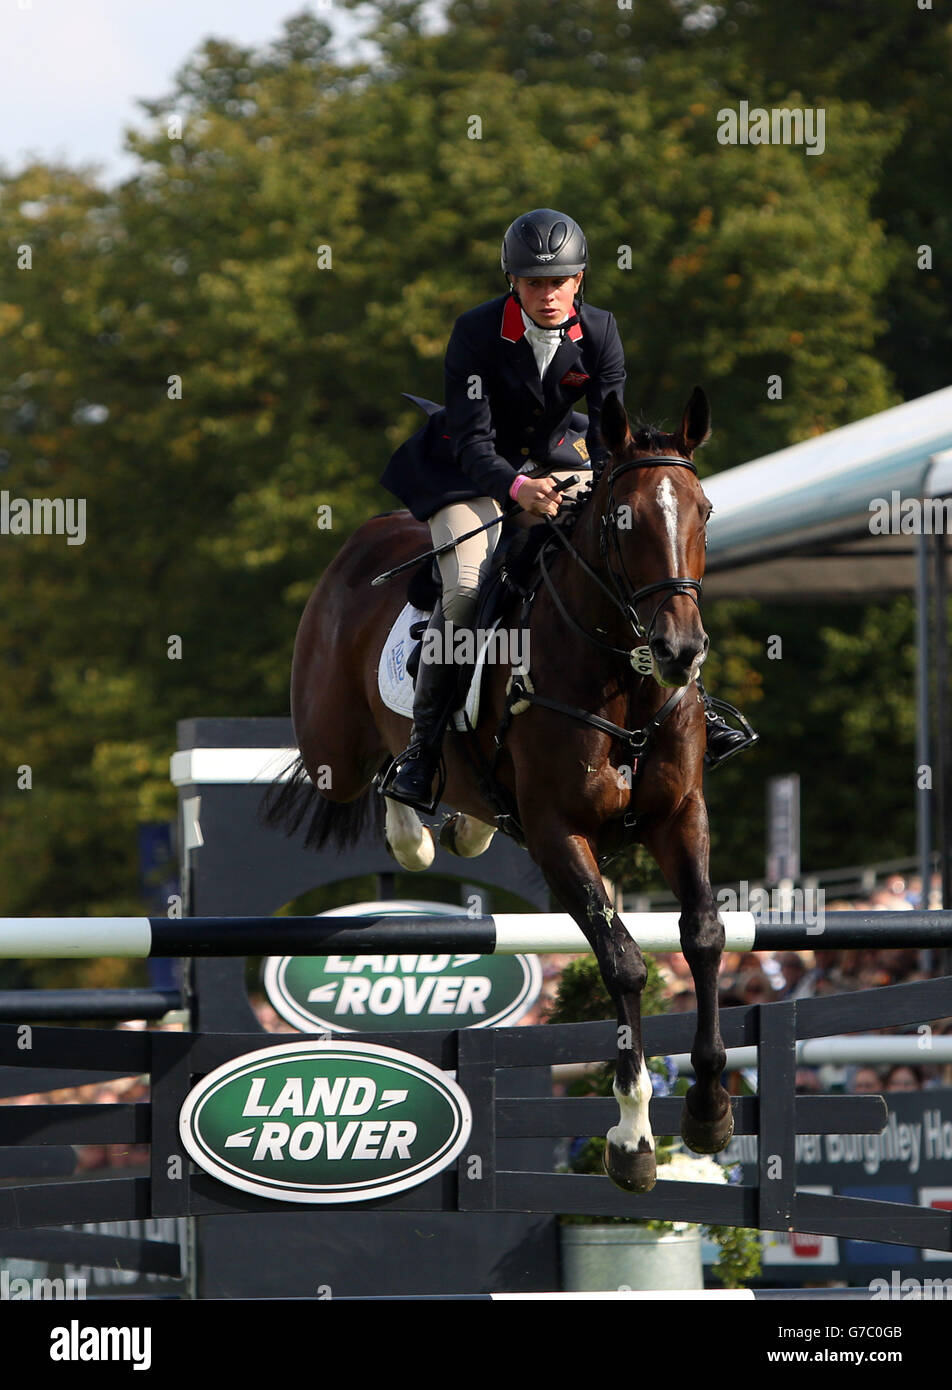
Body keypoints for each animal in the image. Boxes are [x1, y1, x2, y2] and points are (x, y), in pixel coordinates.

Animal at [262, 387, 732, 1193]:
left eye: (702, 510)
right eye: (623, 520)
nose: (681, 651)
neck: (623, 679)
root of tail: (362, 541)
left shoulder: (680, 815)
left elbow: (702, 935)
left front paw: (708, 1108)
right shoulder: (557, 834)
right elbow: (623, 960)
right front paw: (633, 1136)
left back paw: (462, 825)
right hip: (333, 752)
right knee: (375, 771)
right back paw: (414, 825)